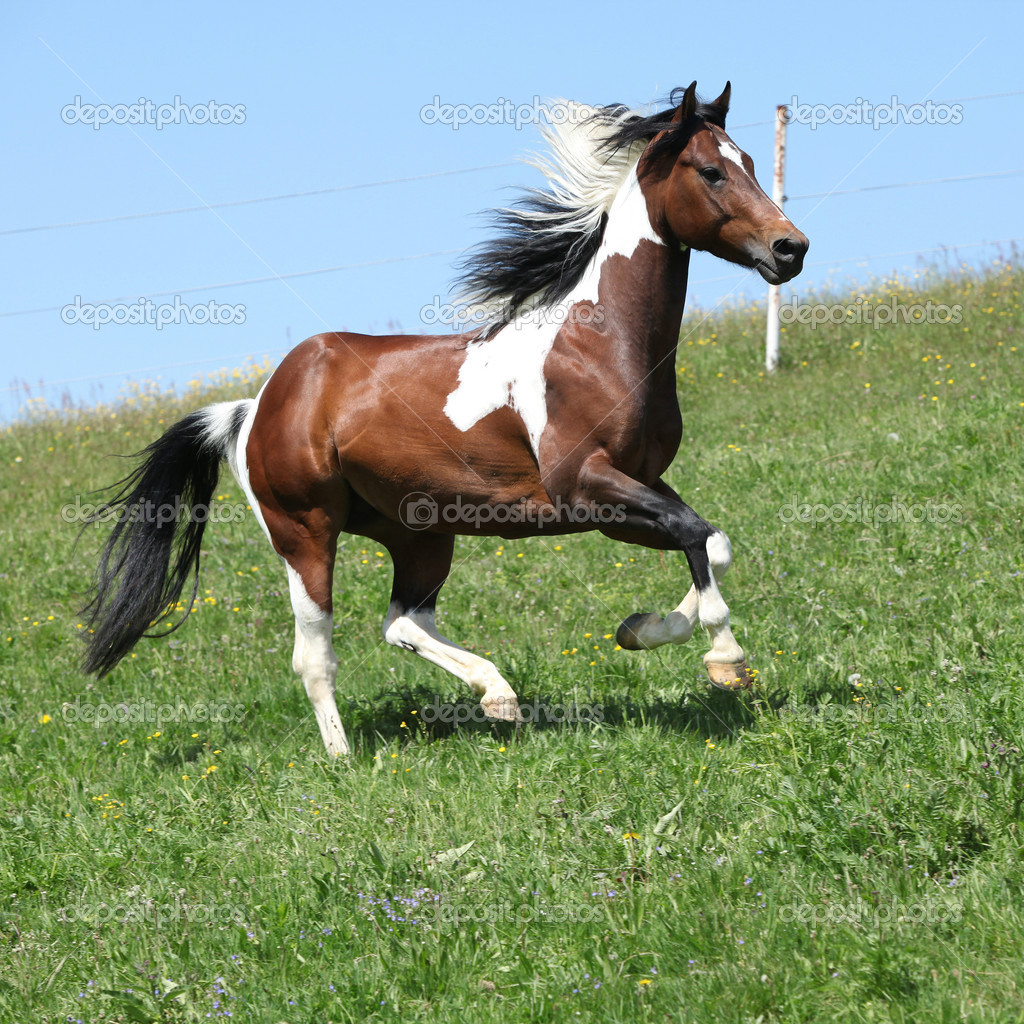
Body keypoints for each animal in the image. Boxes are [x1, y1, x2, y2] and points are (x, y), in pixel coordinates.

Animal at [82, 82, 808, 757]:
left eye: (750, 161)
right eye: (710, 171)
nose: (791, 247)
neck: (599, 345)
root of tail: (252, 408)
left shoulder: (631, 490)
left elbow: (711, 540)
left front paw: (642, 631)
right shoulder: (586, 487)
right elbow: (695, 533)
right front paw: (727, 660)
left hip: (420, 532)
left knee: (403, 622)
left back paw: (499, 696)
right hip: (306, 534)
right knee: (317, 655)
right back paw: (346, 762)